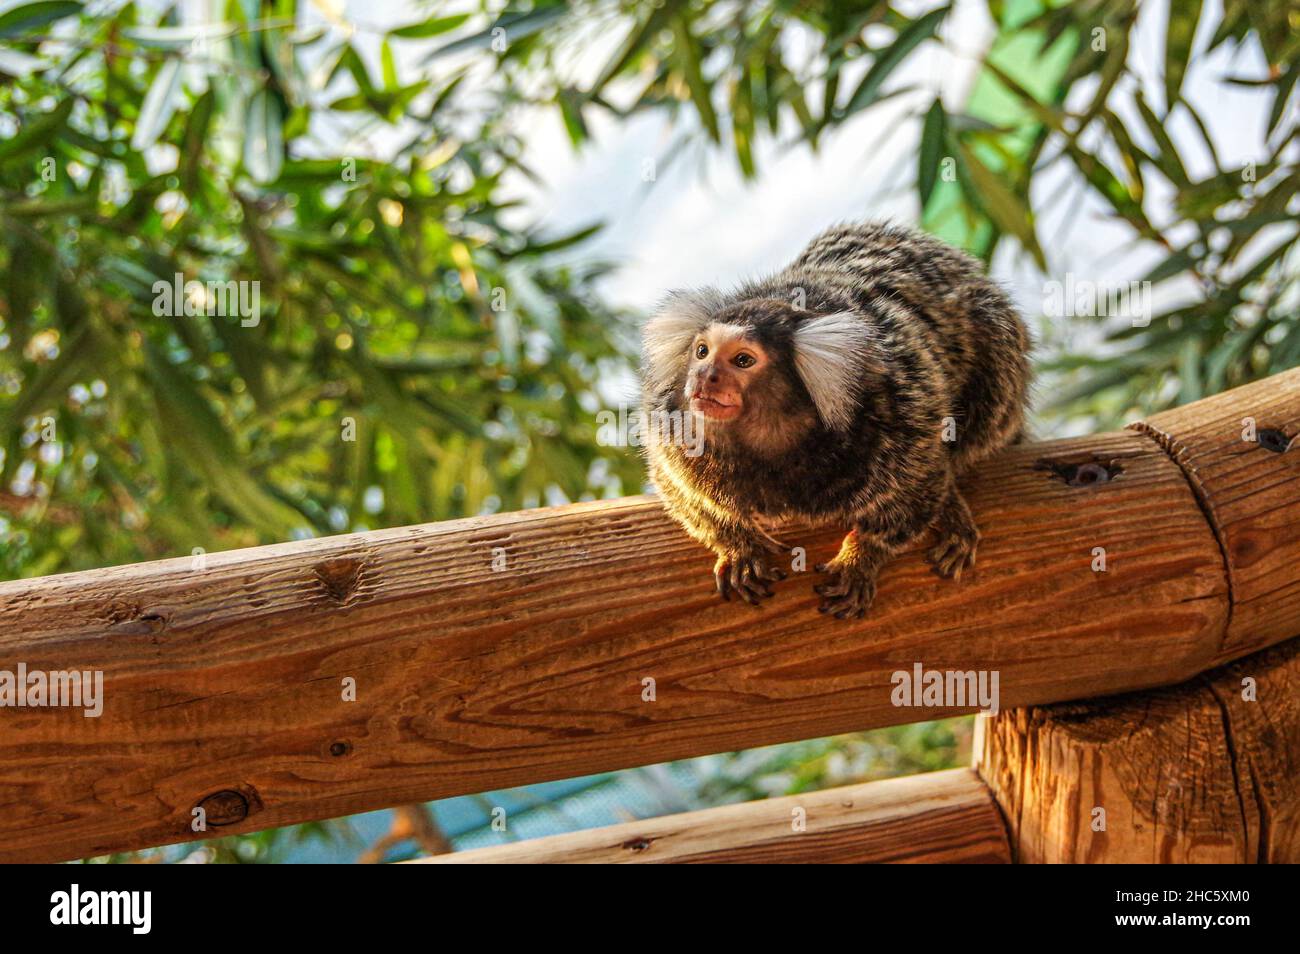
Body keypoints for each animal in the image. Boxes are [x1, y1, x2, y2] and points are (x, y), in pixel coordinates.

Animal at [640, 221, 1032, 620]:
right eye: (702, 352)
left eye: (742, 360)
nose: (704, 378)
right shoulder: (671, 439)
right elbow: (680, 492)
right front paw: (739, 548)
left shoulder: (904, 416)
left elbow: (919, 487)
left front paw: (861, 557)